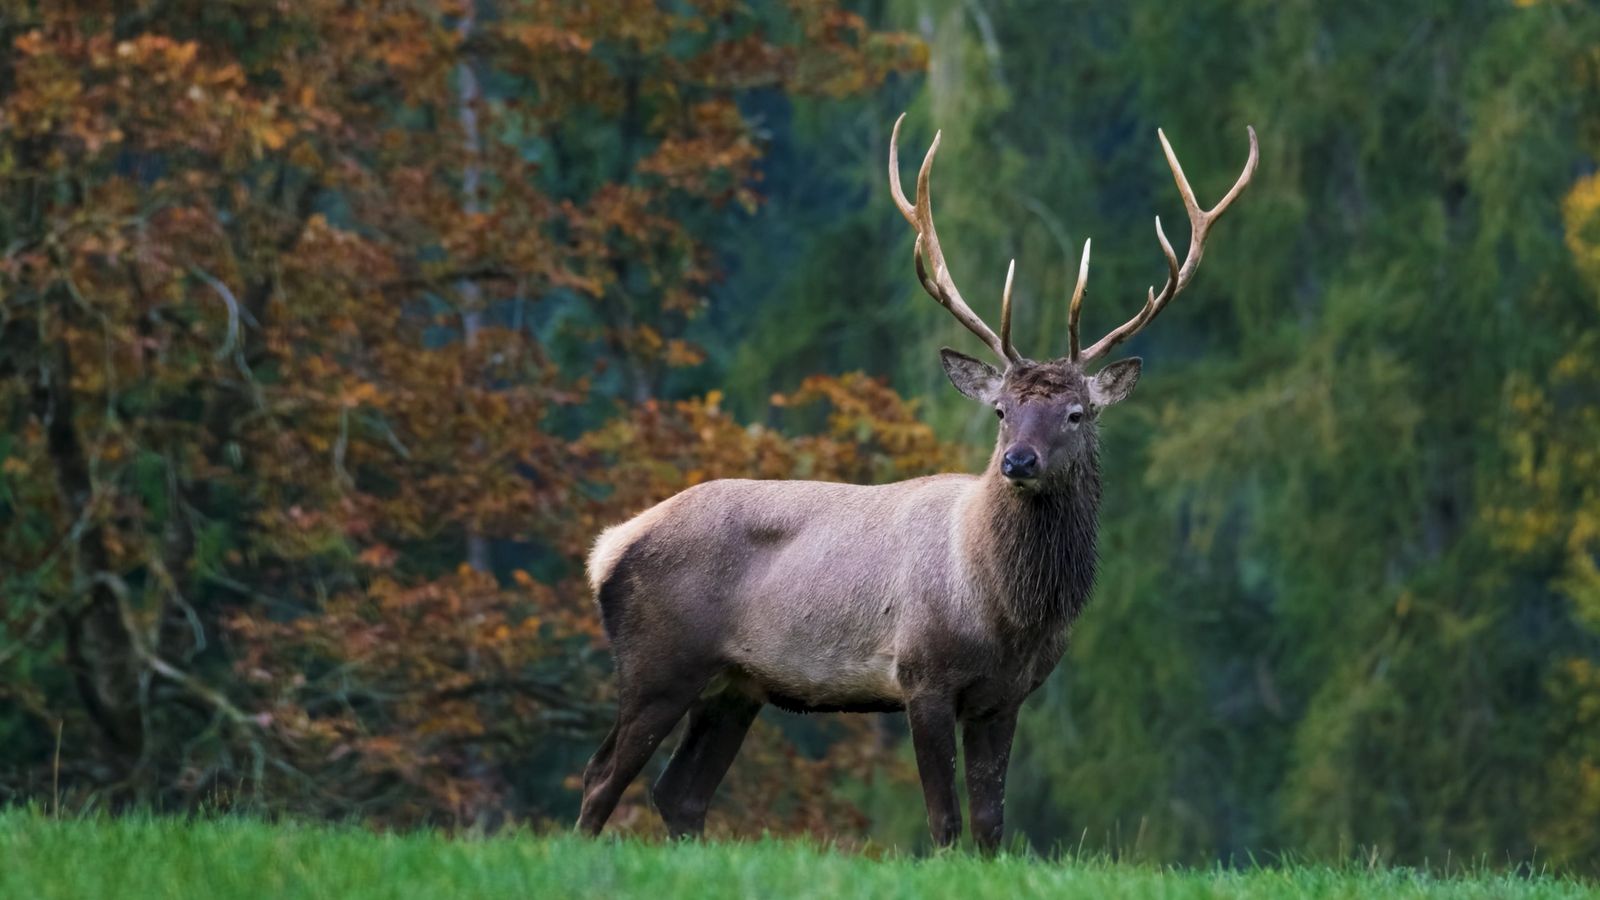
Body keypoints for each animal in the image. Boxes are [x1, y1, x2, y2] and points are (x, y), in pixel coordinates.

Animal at [576, 114, 1258, 851]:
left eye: (1077, 412)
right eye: (1001, 410)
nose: (1019, 462)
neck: (1007, 610)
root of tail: (606, 548)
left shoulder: (1005, 696)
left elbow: (990, 823)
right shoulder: (920, 675)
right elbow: (945, 820)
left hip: (735, 687)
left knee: (680, 793)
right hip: (658, 661)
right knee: (601, 774)